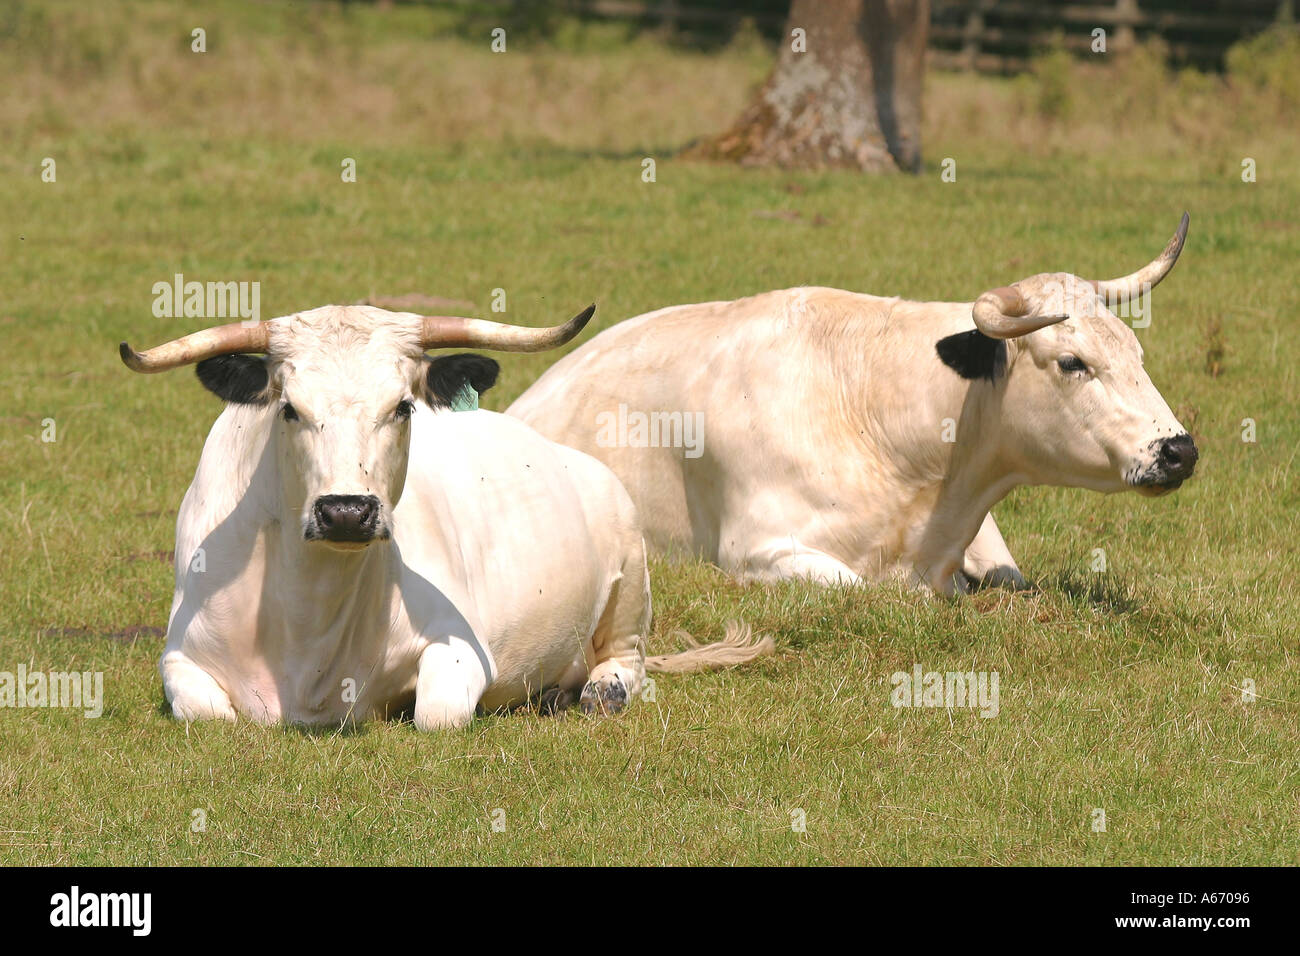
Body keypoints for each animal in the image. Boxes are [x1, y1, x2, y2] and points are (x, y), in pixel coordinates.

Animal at [120, 303, 771, 729]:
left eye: (403, 407)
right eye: (289, 409)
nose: (347, 512)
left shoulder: (462, 648)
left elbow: (435, 713)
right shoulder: (180, 657)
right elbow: (209, 715)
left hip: (630, 576)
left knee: (625, 661)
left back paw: (590, 692)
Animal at [509, 215, 1199, 596]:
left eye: (1136, 351)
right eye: (1072, 362)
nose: (1179, 450)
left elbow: (1007, 577)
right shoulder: (757, 549)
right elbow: (854, 584)